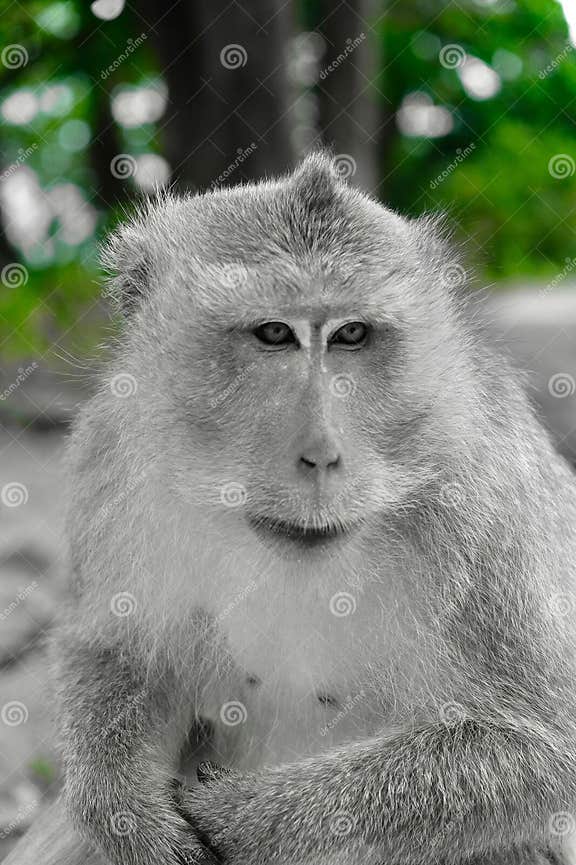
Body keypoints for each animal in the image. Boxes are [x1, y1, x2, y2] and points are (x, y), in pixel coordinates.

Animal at [17, 151, 576, 865]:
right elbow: (113, 649)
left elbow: (543, 745)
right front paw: (127, 814)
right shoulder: (114, 456)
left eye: (351, 335)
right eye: (275, 334)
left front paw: (244, 821)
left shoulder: (483, 498)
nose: (321, 452)